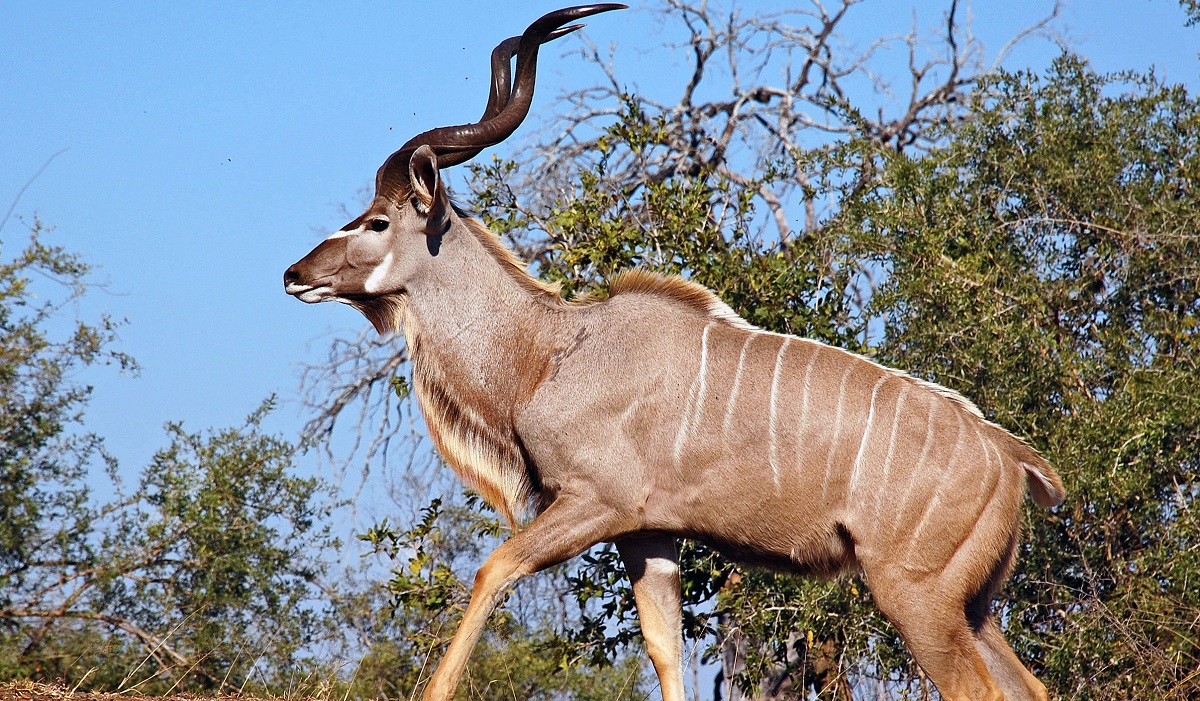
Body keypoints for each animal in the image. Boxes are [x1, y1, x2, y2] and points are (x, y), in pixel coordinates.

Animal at [284, 5, 1065, 700]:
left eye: (377, 221)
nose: (295, 274)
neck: (548, 352)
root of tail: (1012, 460)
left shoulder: (593, 503)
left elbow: (494, 567)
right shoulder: (648, 535)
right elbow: (664, 650)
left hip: (916, 595)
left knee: (978, 690)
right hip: (972, 607)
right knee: (1029, 686)